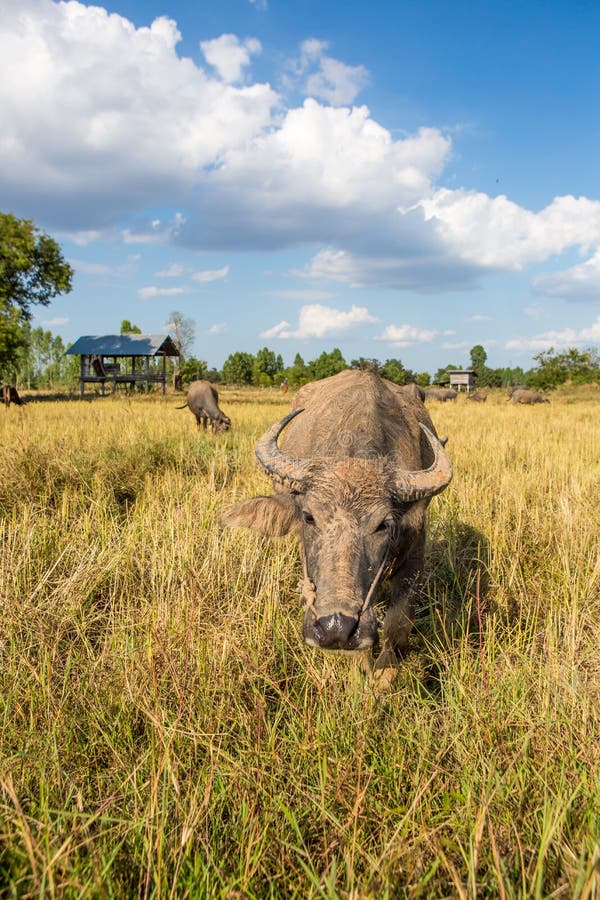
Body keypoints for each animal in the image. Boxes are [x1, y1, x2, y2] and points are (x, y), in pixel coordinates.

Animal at [222, 370, 452, 676]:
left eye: (383, 524)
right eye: (309, 517)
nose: (336, 629)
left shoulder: (414, 550)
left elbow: (398, 628)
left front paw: (382, 678)